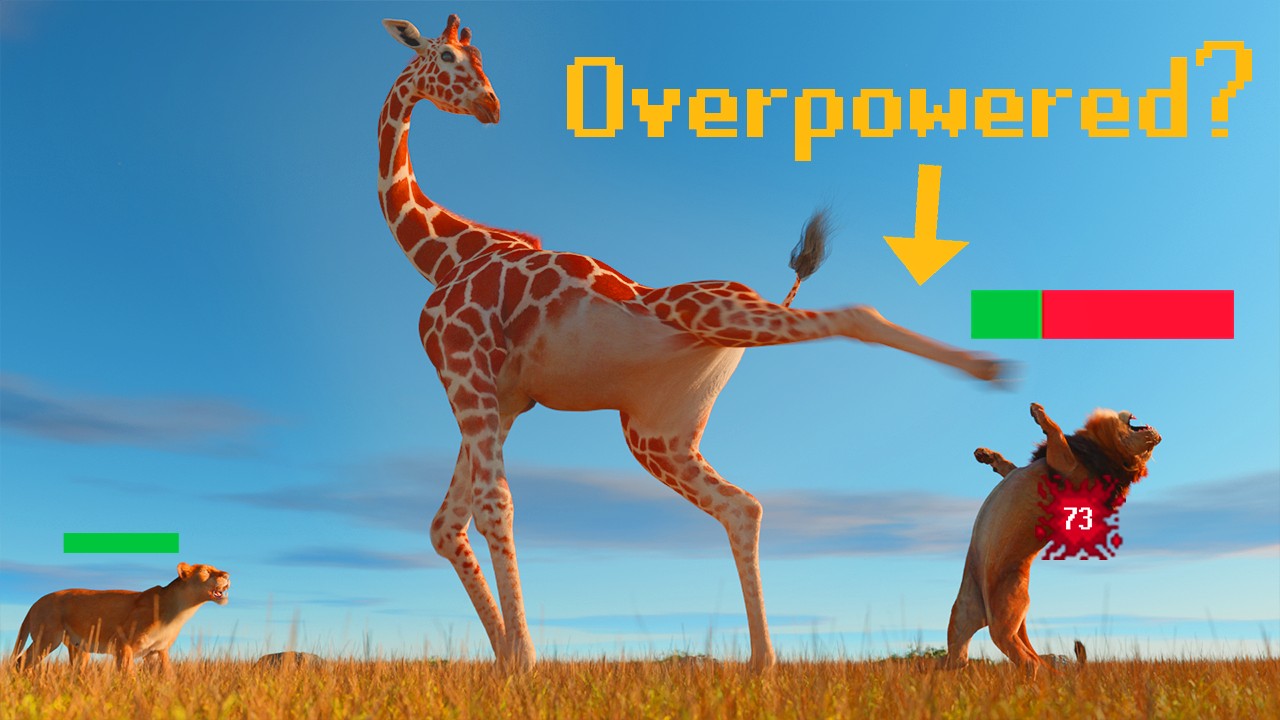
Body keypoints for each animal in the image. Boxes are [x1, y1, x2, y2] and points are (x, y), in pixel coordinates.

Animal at [378, 14, 1007, 671]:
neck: (442, 255)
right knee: (743, 504)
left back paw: (988, 368)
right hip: (659, 431)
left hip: (712, 325)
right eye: (451, 56)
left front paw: (523, 661)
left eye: (470, 57)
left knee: (856, 315)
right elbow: (447, 523)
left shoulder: (463, 361)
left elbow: (490, 503)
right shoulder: (501, 396)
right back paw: (762, 663)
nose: (491, 106)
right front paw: (505, 660)